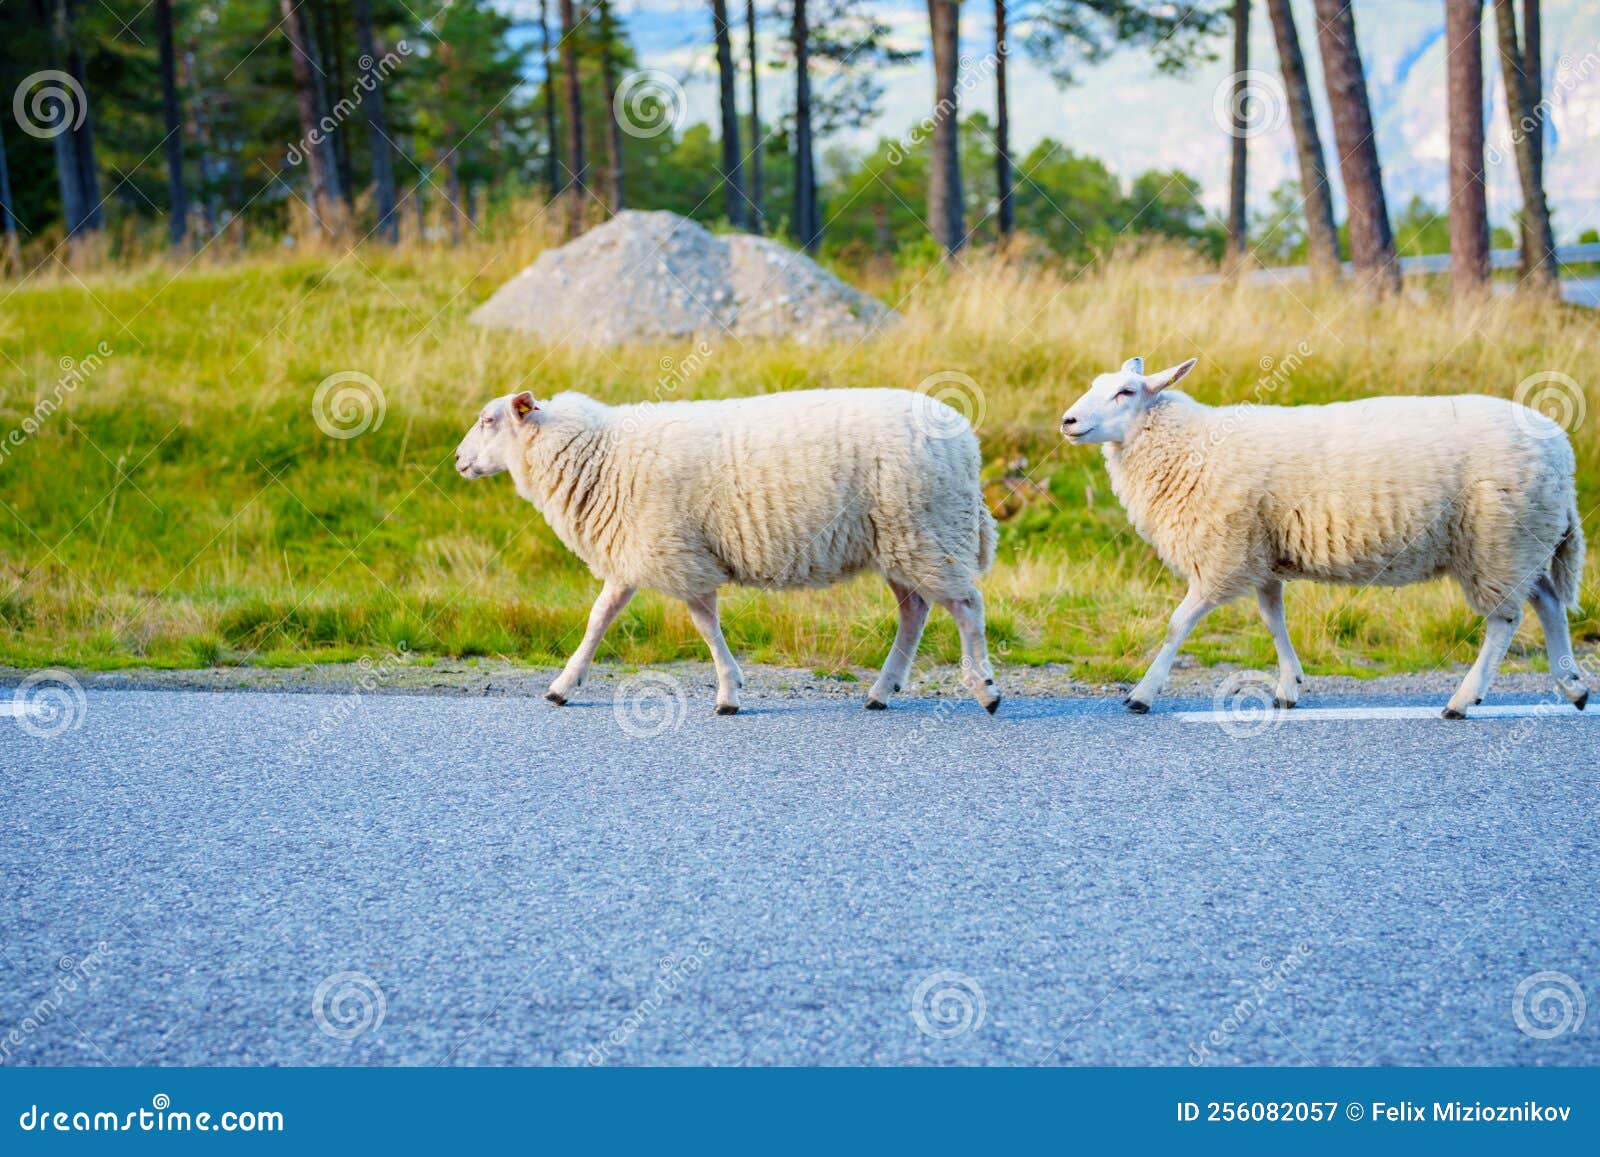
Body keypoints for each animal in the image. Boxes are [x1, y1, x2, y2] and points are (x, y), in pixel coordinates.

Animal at [454, 387, 1001, 715]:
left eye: (488, 420)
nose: (457, 460)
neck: (599, 453)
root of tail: (967, 441)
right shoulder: (640, 552)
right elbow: (599, 618)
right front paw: (563, 685)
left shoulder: (678, 553)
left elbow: (702, 625)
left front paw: (727, 693)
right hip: (902, 540)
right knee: (915, 610)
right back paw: (882, 691)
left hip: (928, 530)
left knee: (967, 606)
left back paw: (986, 690)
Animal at [1060, 357, 1589, 720]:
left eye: (1126, 391)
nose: (1067, 421)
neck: (1190, 446)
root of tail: (1562, 450)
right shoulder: (1261, 553)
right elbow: (1272, 618)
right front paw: (1289, 685)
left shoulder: (1224, 557)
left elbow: (1178, 624)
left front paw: (1143, 693)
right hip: (1522, 542)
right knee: (1547, 601)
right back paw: (1573, 685)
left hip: (1498, 542)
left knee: (1506, 619)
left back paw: (1463, 699)